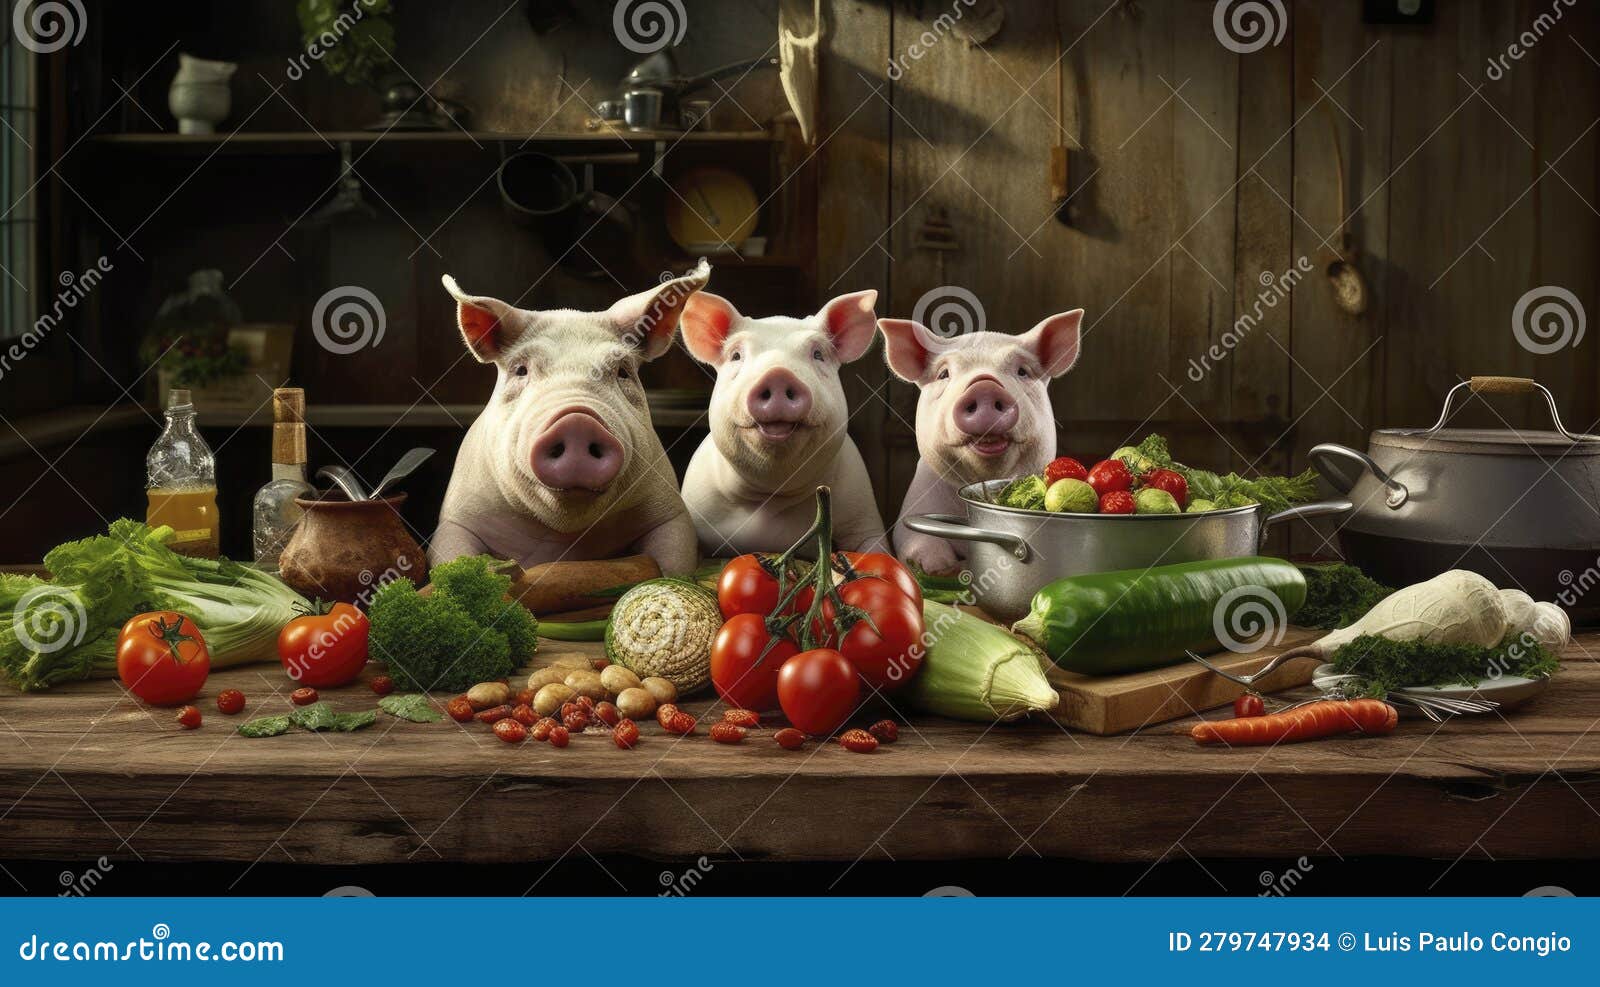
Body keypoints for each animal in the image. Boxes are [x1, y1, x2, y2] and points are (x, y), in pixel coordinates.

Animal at [428, 261, 710, 575]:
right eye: (520, 370)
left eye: (623, 371)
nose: (577, 421)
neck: (563, 536)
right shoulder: (456, 518)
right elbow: (451, 556)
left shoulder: (670, 510)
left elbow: (674, 560)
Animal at [877, 310, 1084, 574]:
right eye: (943, 374)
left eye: (1022, 371)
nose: (985, 386)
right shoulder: (914, 506)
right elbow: (914, 539)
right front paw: (941, 568)